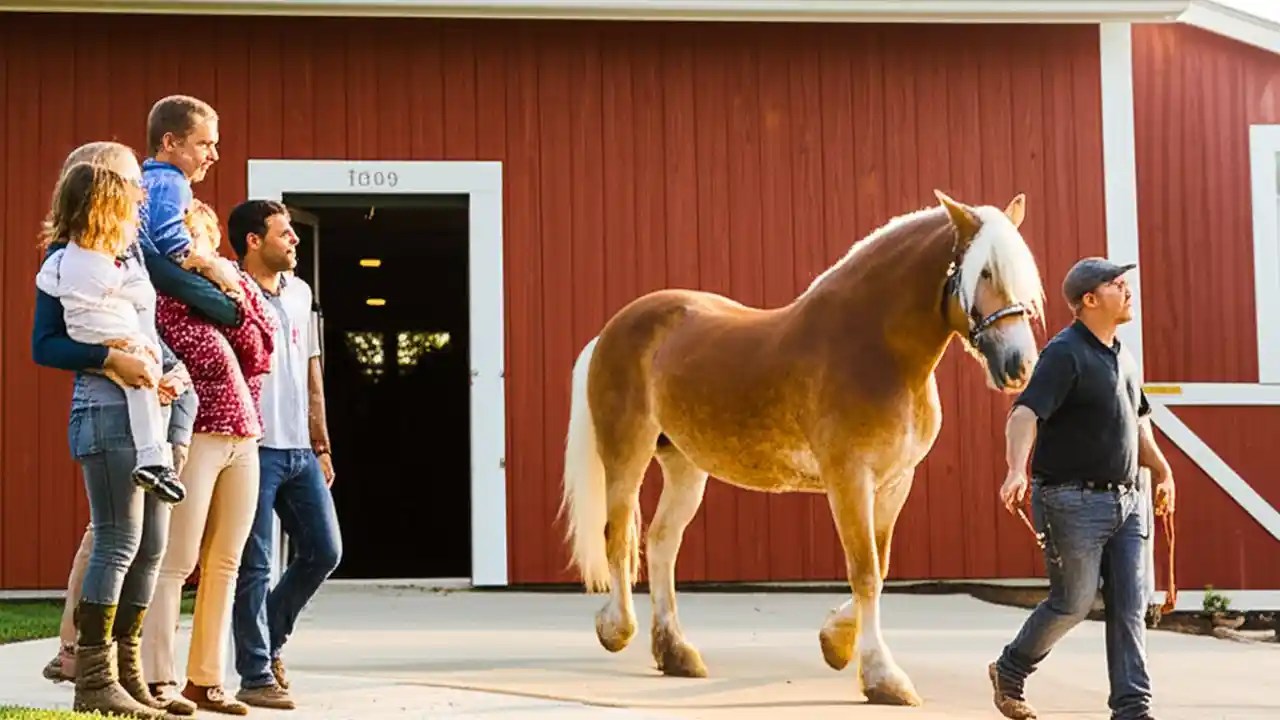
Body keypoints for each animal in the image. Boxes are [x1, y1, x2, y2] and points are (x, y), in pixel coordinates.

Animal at [558, 190, 1045, 706]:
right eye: (984, 272)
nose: (1020, 365)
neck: (875, 348)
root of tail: (612, 329)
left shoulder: (895, 482)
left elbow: (881, 565)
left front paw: (836, 643)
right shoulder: (849, 478)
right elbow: (864, 570)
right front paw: (883, 677)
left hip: (684, 464)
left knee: (662, 543)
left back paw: (676, 653)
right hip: (626, 452)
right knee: (618, 535)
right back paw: (616, 630)